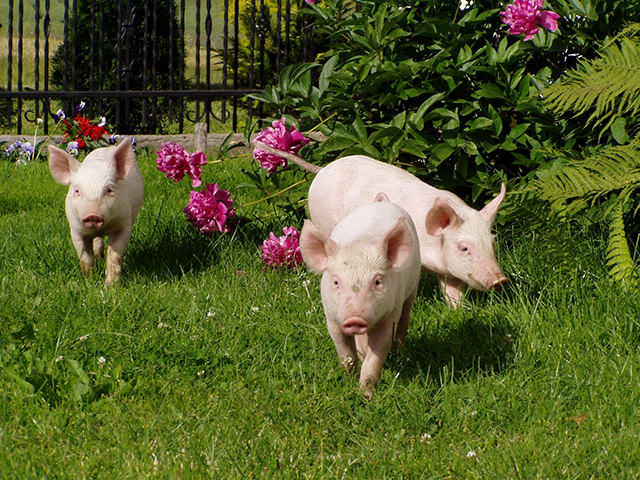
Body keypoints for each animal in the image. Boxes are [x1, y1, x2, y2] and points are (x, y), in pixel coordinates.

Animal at [47, 138, 143, 284]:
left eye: (109, 190)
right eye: (77, 191)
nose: (92, 215)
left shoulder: (124, 224)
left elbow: (114, 255)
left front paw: (111, 285)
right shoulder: (76, 230)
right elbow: (85, 257)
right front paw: (89, 282)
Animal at [300, 197, 421, 399]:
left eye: (378, 281)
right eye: (336, 282)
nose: (355, 318)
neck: (360, 244)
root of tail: (381, 202)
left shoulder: (390, 314)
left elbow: (378, 351)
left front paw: (367, 394)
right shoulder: (331, 318)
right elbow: (344, 350)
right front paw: (349, 377)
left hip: (412, 289)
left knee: (405, 317)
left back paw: (398, 349)